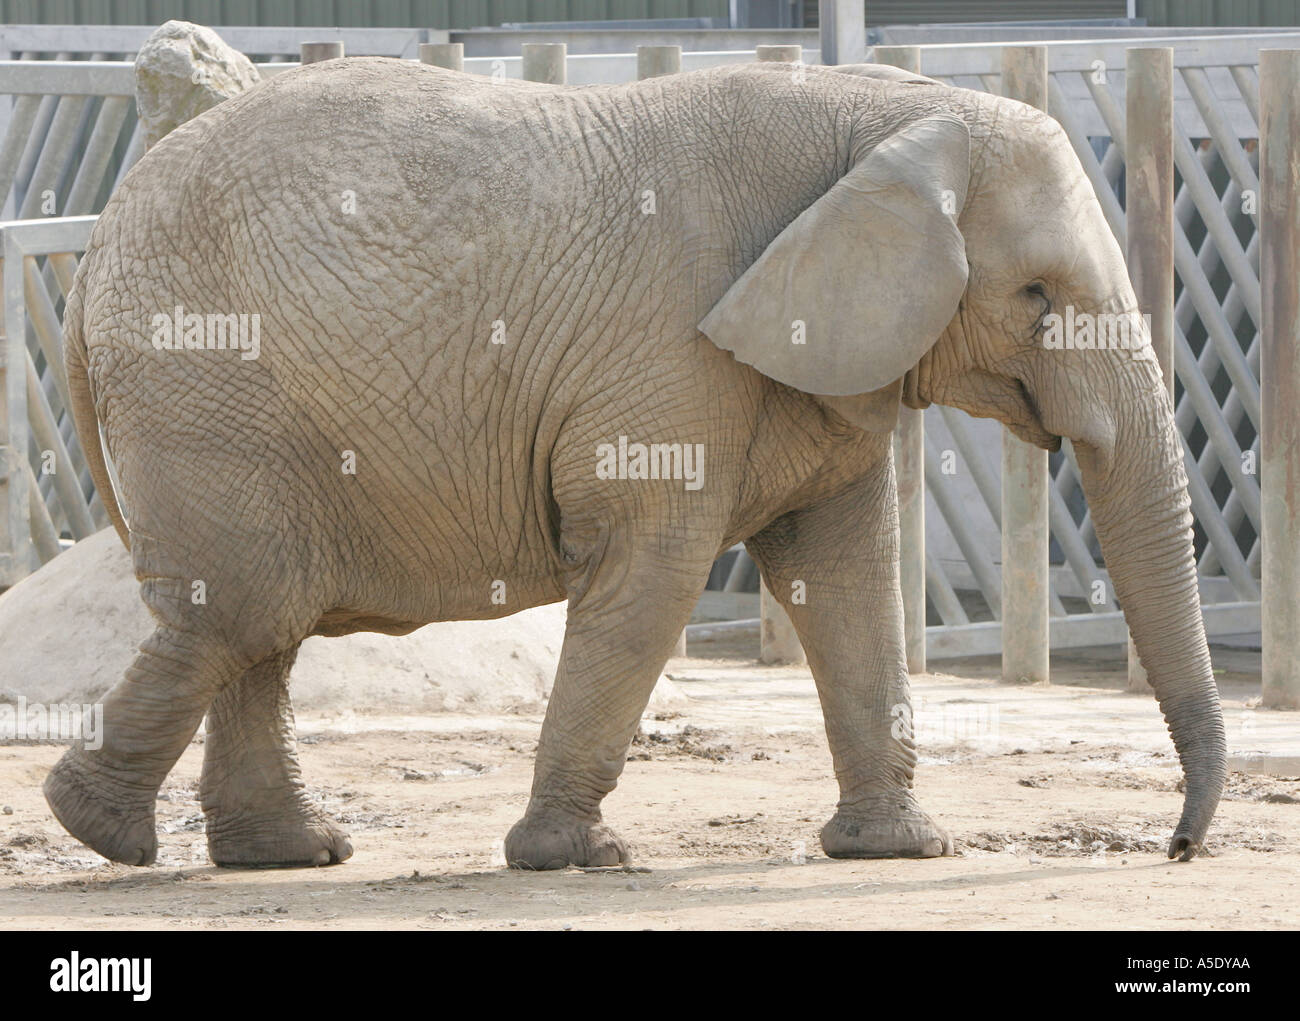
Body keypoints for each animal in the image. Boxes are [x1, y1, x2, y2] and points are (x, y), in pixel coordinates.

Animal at [48, 56, 1226, 869]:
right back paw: (102, 832)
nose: (1174, 848)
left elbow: (847, 578)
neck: (880, 111)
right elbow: (652, 576)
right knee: (244, 607)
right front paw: (577, 859)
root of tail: (94, 252)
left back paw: (286, 854)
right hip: (208, 382)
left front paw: (901, 849)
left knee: (263, 620)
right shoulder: (667, 357)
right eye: (1036, 296)